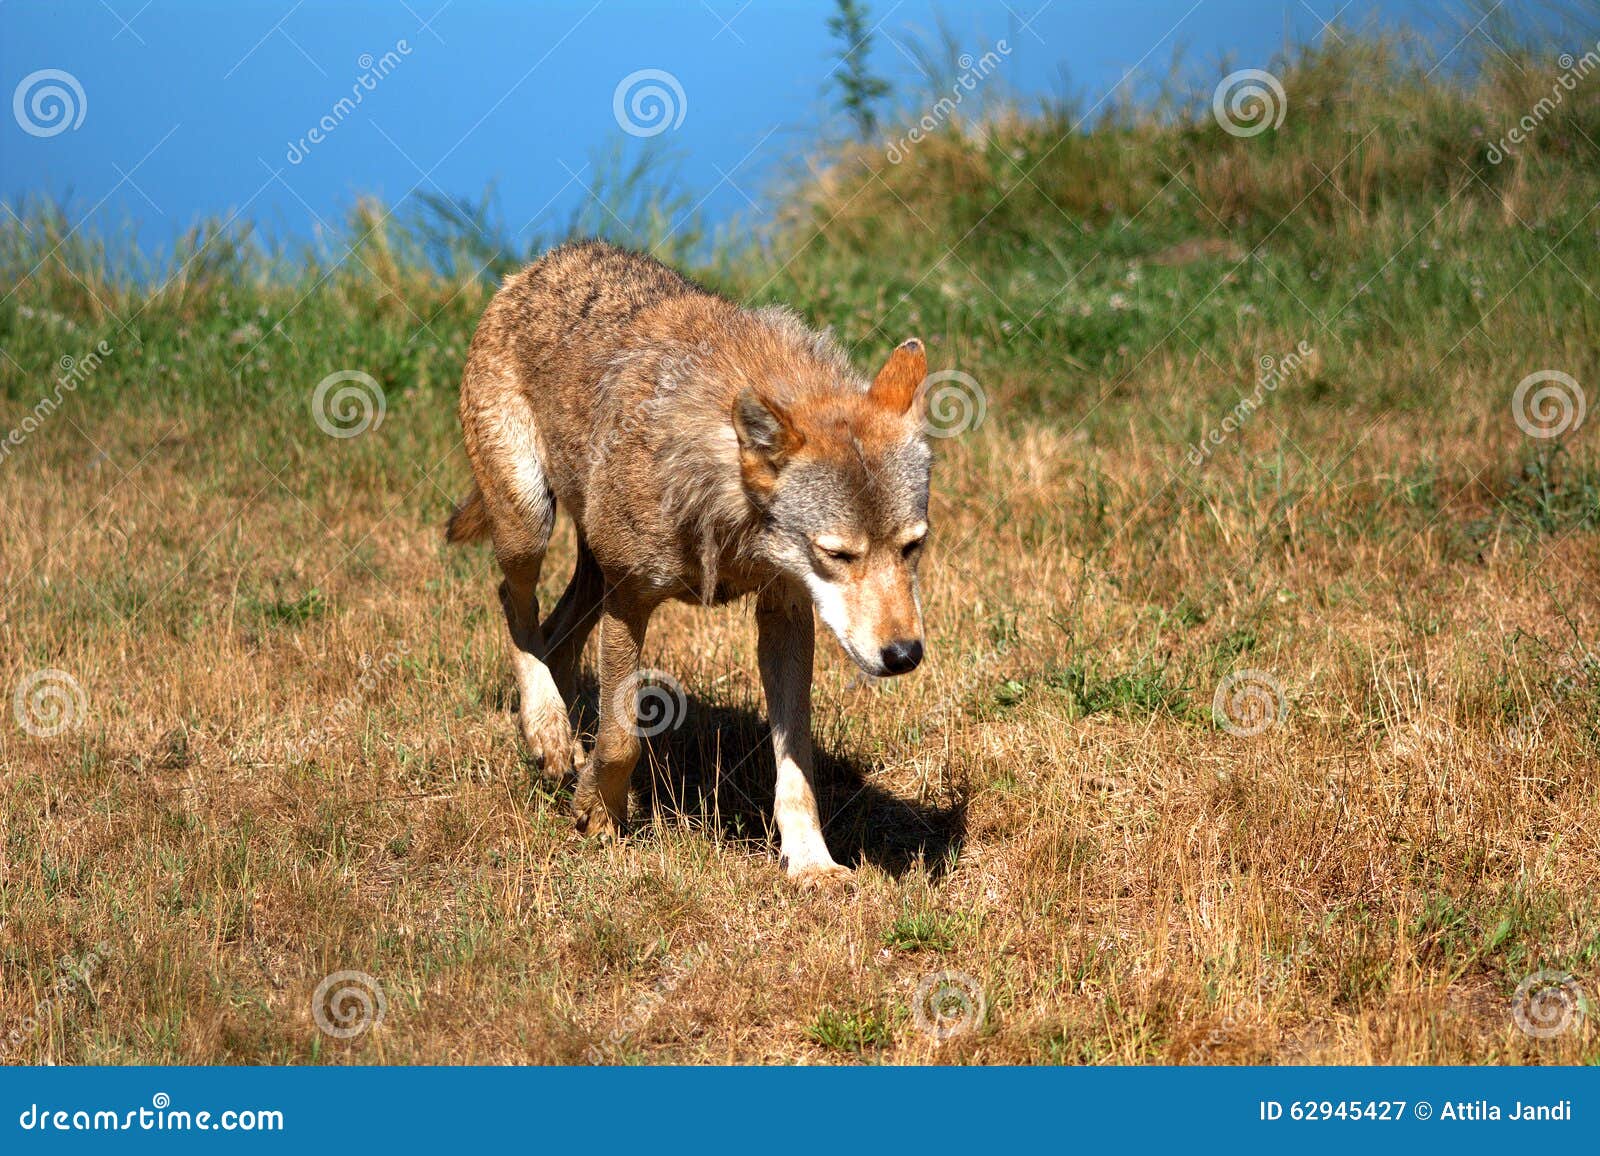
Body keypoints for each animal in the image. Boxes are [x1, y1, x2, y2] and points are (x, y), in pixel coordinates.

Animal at [446, 241, 932, 885]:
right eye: (837, 554)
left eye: (912, 546)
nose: (904, 656)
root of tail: (536, 266)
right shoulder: (630, 601)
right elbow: (623, 738)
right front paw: (598, 817)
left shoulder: (785, 614)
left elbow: (796, 761)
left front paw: (811, 863)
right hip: (531, 525)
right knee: (514, 603)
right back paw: (549, 731)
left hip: (591, 569)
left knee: (556, 635)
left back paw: (563, 733)